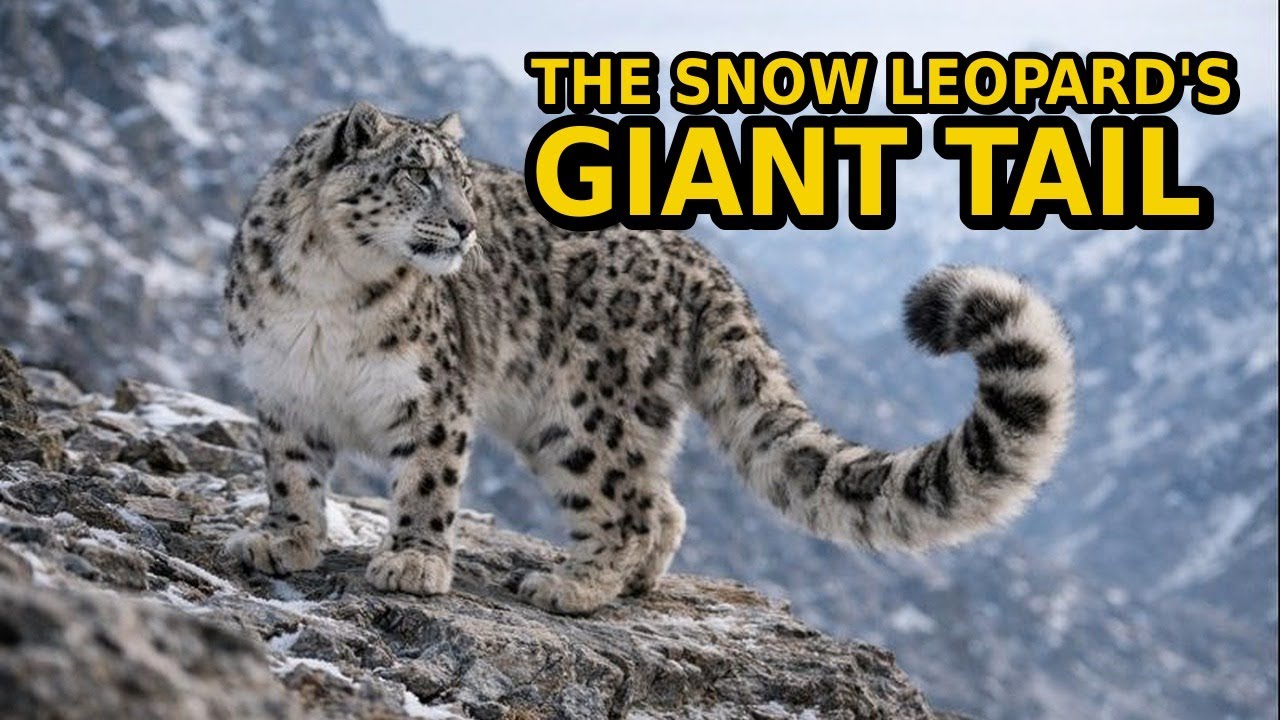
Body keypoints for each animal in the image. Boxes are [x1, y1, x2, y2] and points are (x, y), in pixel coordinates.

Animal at [222, 101, 1074, 615]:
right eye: (415, 174)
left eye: (461, 180)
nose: (465, 226)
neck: (327, 292)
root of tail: (703, 260)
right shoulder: (282, 390)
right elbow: (292, 476)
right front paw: (283, 542)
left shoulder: (434, 397)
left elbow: (426, 483)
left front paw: (414, 563)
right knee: (661, 504)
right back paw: (625, 581)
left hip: (587, 413)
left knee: (630, 507)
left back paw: (573, 584)